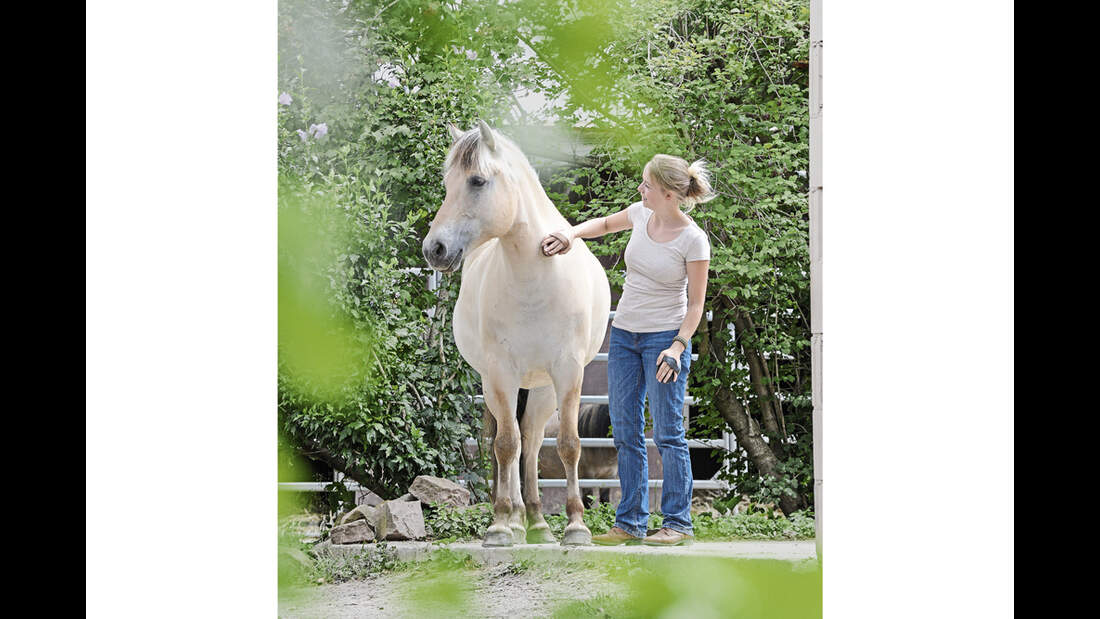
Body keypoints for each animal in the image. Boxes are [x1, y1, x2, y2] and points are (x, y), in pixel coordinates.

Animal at [422, 120, 611, 546]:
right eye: (445, 182)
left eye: (477, 181)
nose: (434, 249)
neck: (534, 281)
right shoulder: (499, 374)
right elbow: (505, 446)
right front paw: (499, 525)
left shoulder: (568, 372)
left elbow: (569, 445)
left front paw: (576, 527)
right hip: (501, 386)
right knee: (513, 443)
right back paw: (516, 520)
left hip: (541, 389)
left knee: (534, 440)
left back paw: (538, 523)